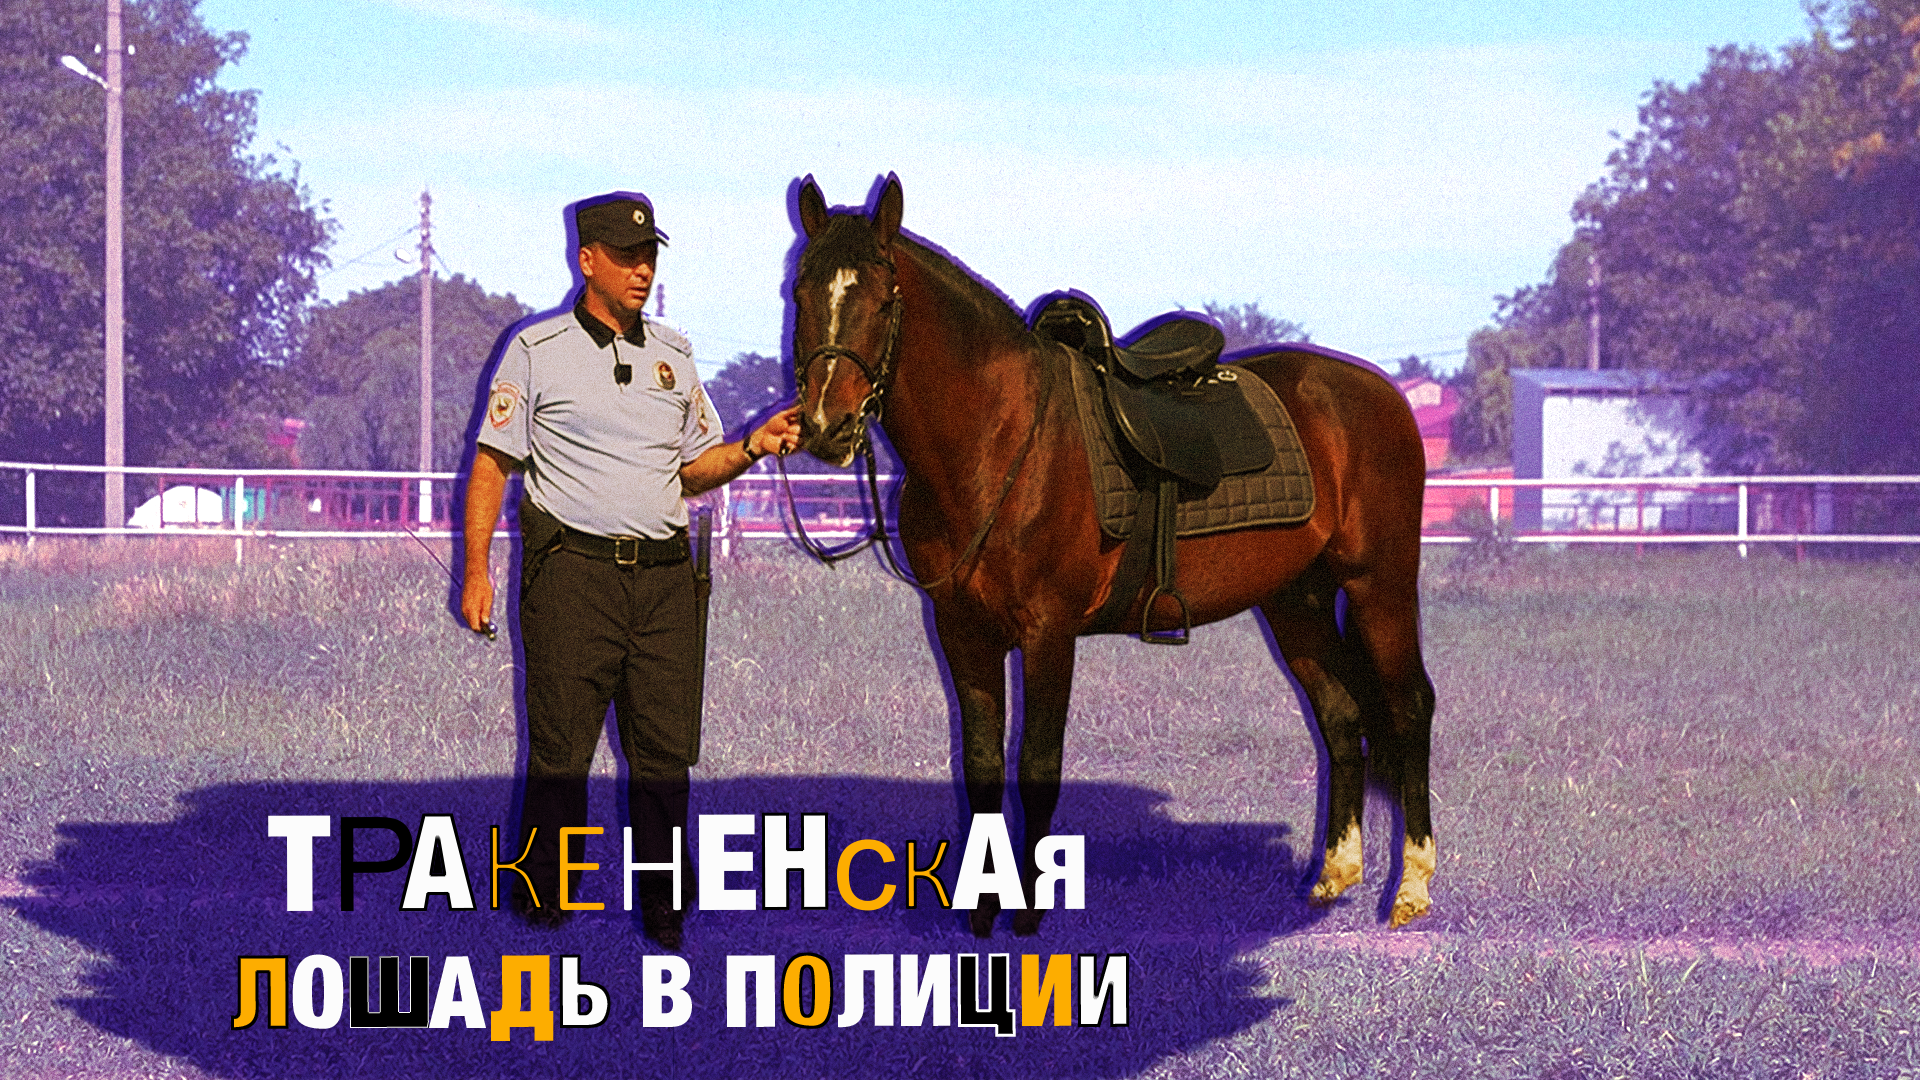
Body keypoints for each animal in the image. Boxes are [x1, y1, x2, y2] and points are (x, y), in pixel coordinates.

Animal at [789, 175, 1437, 936]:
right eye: (800, 289)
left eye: (884, 296)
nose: (826, 427)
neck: (1001, 439)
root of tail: (1377, 393)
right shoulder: (962, 631)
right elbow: (979, 765)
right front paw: (979, 913)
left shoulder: (1049, 632)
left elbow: (1038, 765)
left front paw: (1028, 914)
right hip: (1295, 601)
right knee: (1341, 715)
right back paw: (1334, 875)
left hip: (1378, 584)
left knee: (1409, 706)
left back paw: (1412, 886)